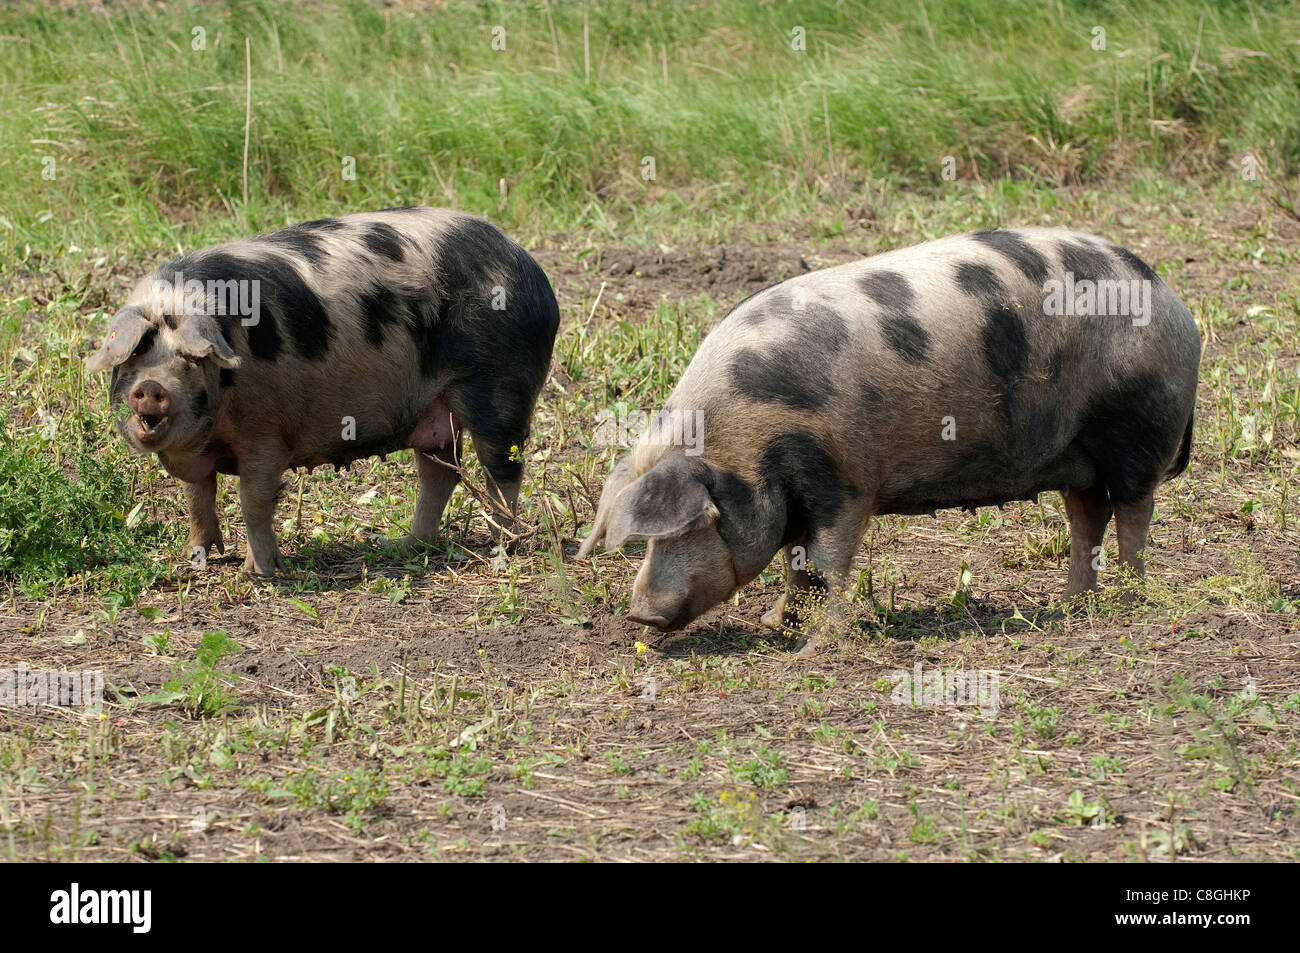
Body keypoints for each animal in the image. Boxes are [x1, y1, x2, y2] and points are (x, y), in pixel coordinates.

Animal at [86, 208, 560, 575]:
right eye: (136, 354)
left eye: (192, 359)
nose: (150, 388)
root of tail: (529, 267)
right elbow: (197, 495)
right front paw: (198, 559)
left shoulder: (266, 432)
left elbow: (253, 502)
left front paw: (260, 573)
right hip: (434, 406)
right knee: (440, 472)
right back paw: (403, 546)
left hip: (501, 387)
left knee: (502, 470)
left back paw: (502, 546)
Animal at [578, 228, 1200, 644]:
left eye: (693, 526)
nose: (638, 614)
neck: (747, 444)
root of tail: (1174, 300)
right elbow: (796, 565)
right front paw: (775, 623)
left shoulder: (845, 479)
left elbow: (827, 563)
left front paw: (813, 647)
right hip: (1078, 454)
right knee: (1087, 515)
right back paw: (1070, 603)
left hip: (1139, 424)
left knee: (1134, 512)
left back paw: (1129, 597)